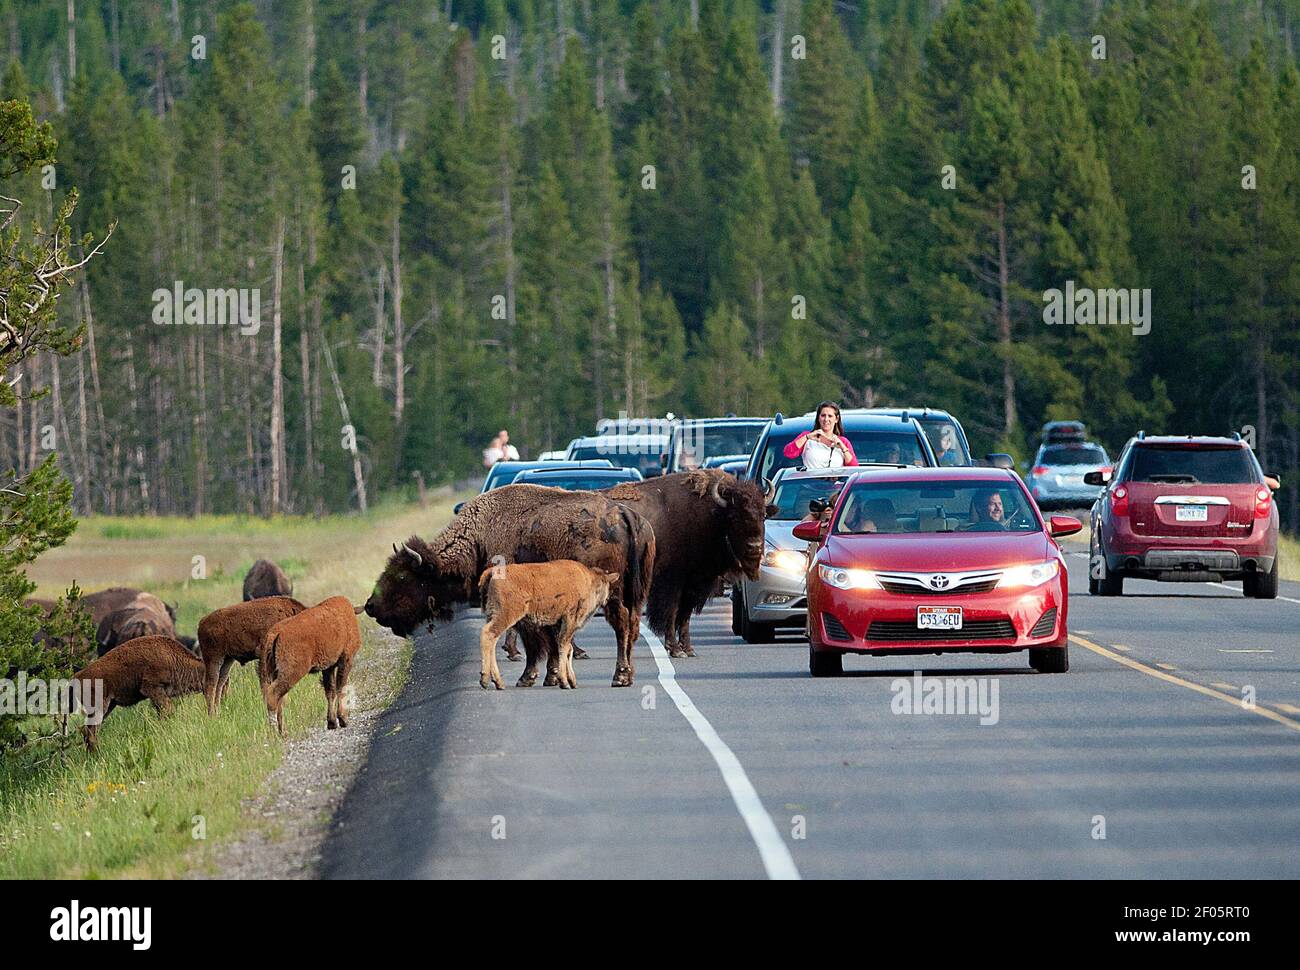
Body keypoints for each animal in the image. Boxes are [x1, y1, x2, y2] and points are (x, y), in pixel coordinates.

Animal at [364, 484, 655, 687]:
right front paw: (550, 676)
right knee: (631, 625)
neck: (478, 539)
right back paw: (627, 675)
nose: (370, 606)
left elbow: (534, 640)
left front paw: (528, 677)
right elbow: (550, 639)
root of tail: (625, 514)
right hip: (635, 593)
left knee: (621, 624)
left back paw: (619, 676)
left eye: (403, 576)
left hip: (611, 593)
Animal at [606, 470, 765, 659]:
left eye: (764, 515)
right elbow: (672, 613)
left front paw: (688, 649)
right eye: (733, 517)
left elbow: (684, 616)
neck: (711, 516)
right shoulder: (672, 583)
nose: (754, 546)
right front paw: (675, 649)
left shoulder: (692, 585)